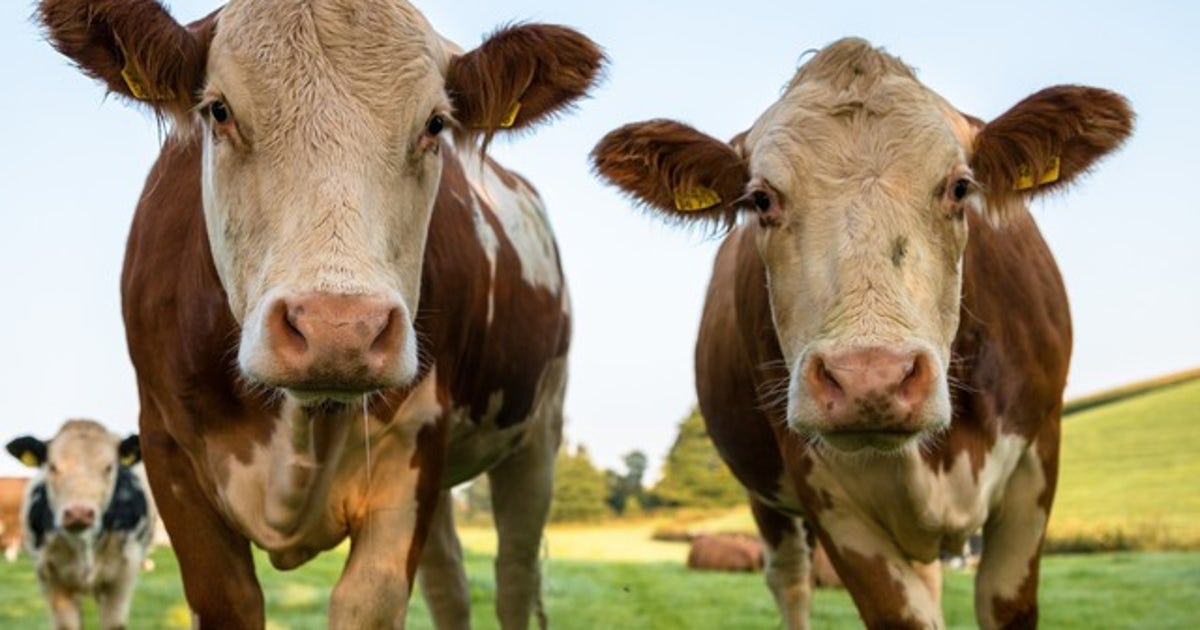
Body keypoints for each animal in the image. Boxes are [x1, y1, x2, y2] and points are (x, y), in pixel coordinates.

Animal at [36, 0, 602, 627]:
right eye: (219, 110)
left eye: (435, 125)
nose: (339, 329)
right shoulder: (167, 452)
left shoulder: (411, 450)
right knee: (450, 581)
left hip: (538, 436)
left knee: (513, 576)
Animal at [592, 37, 1132, 629]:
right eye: (761, 199)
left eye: (960, 187)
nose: (870, 378)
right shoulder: (828, 496)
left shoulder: (1035, 463)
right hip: (768, 498)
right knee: (791, 580)